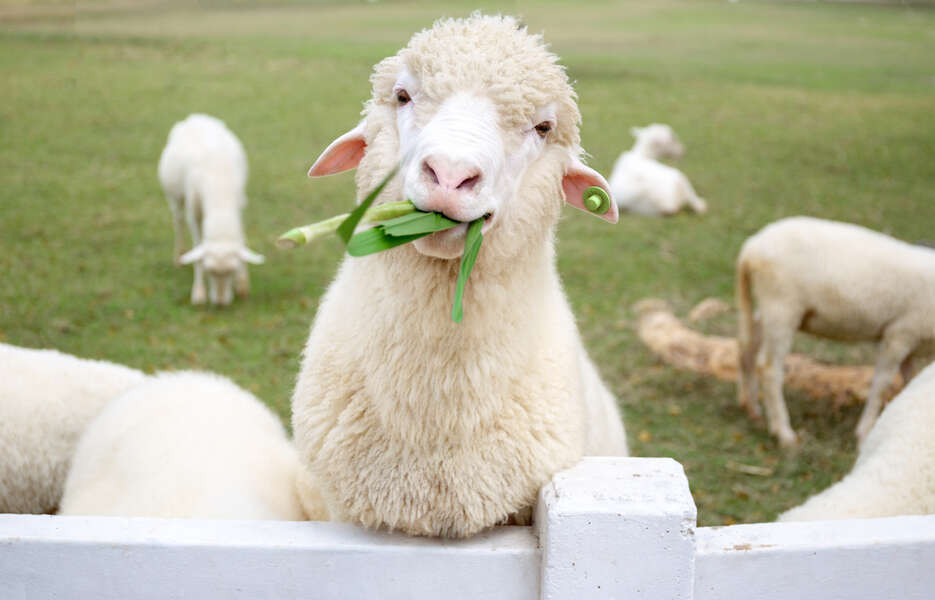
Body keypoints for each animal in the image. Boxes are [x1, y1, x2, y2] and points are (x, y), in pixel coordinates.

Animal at [157, 113, 264, 306]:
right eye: (209, 272)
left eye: (232, 271)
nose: (221, 303)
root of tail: (196, 116)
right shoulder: (194, 213)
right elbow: (198, 246)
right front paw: (199, 293)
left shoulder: (240, 205)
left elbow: (242, 239)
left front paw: (242, 285)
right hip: (175, 199)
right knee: (178, 222)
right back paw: (179, 256)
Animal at [736, 216, 935, 447]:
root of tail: (751, 248)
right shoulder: (900, 333)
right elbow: (882, 384)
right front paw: (864, 432)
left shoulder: (909, 341)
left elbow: (911, 382)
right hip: (782, 306)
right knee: (768, 367)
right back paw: (784, 433)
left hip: (769, 310)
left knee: (747, 348)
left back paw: (752, 409)